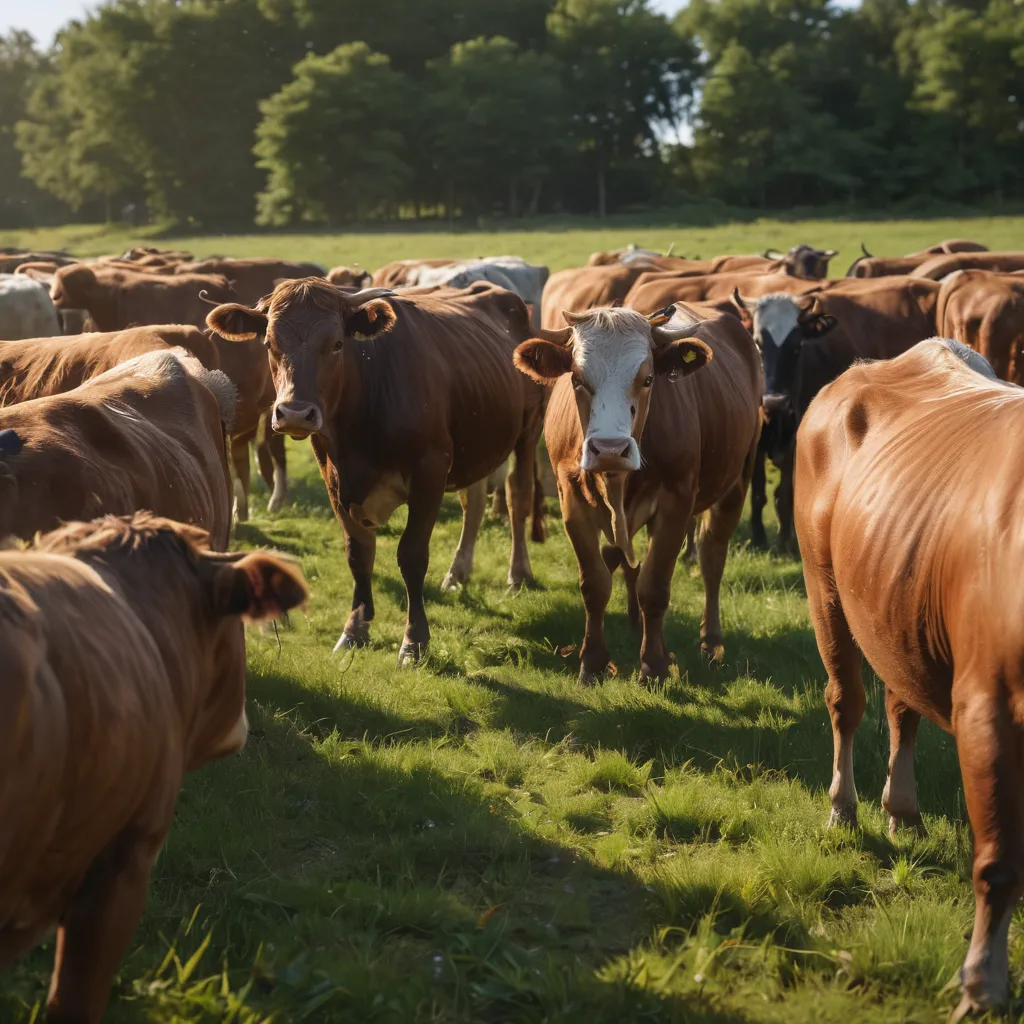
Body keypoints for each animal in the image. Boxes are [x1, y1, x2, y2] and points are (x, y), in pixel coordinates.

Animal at [207, 279, 547, 662]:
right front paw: (355, 628)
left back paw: (518, 573)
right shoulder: (333, 478)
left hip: (527, 432)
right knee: (472, 503)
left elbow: (412, 555)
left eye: (337, 344)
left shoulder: (430, 472)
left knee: (518, 496)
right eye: (270, 344)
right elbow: (358, 553)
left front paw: (414, 640)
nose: (294, 413)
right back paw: (458, 573)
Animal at [513, 303, 761, 682]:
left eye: (647, 379)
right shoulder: (571, 499)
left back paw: (711, 639)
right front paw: (593, 662)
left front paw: (654, 666)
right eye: (577, 379)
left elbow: (654, 586)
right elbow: (595, 583)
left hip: (737, 482)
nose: (609, 449)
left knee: (712, 558)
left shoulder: (677, 504)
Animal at [731, 276, 940, 549]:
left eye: (797, 347)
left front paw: (785, 540)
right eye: (758, 343)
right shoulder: (757, 442)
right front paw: (758, 539)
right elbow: (757, 495)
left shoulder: (794, 442)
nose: (775, 401)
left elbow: (785, 494)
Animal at [794, 336, 1024, 1019]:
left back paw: (904, 811)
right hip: (825, 586)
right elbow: (998, 861)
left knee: (902, 705)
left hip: (894, 600)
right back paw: (844, 808)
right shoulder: (987, 707)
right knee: (847, 699)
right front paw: (981, 984)